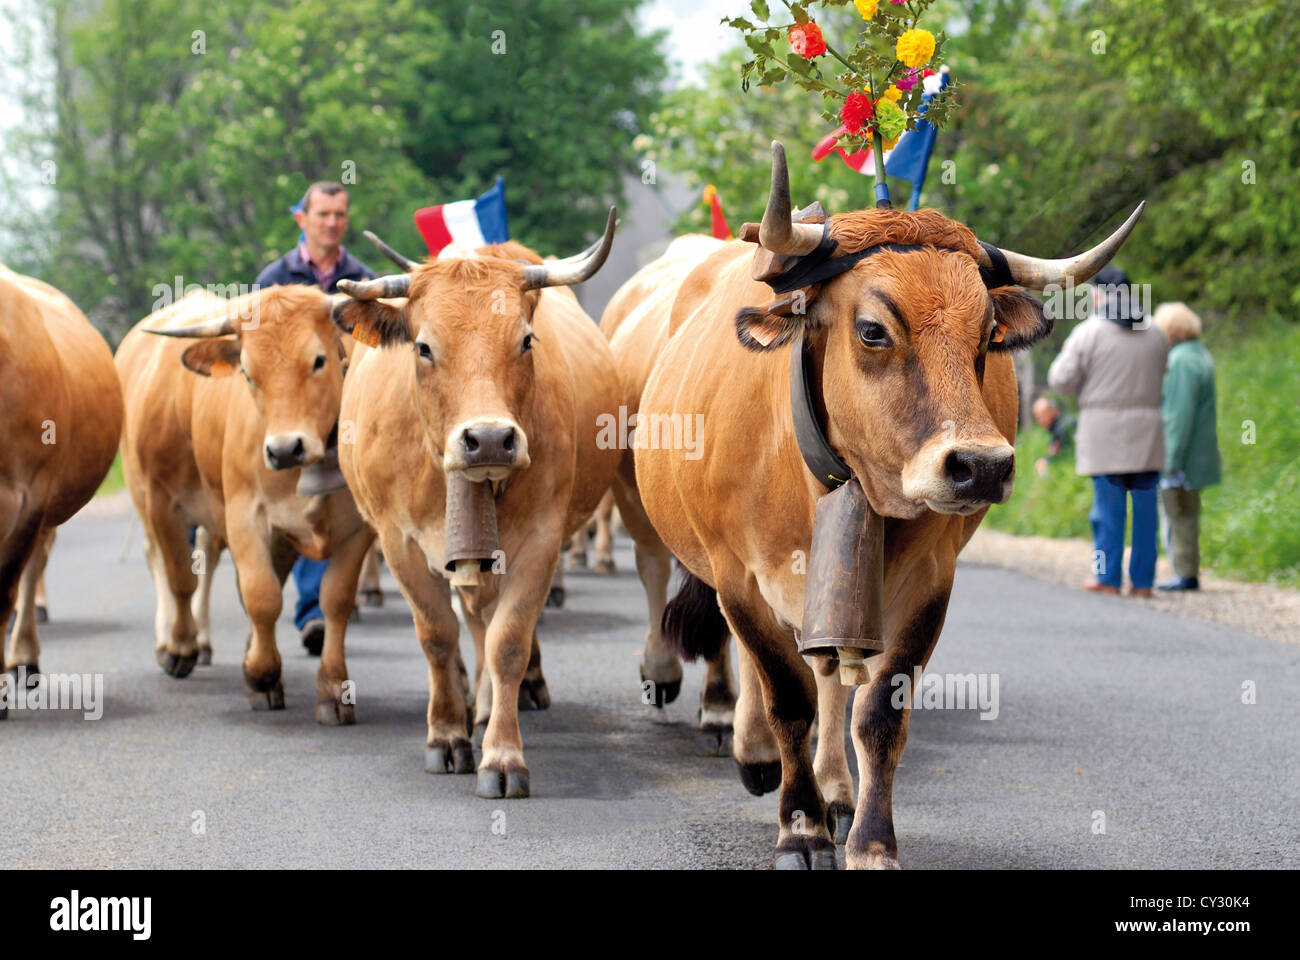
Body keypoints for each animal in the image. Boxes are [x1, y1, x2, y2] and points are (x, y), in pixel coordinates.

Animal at [115, 283, 372, 722]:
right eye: (249, 374)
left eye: (319, 360)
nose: (284, 449)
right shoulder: (240, 512)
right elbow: (258, 595)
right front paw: (260, 676)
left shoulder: (356, 527)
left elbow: (335, 600)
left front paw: (333, 689)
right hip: (151, 494)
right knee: (168, 565)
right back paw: (177, 643)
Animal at [330, 212, 620, 798]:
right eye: (423, 347)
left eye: (526, 340)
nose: (487, 439)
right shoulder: (399, 543)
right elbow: (437, 636)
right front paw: (446, 736)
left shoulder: (540, 541)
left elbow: (507, 643)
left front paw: (502, 756)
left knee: (489, 625)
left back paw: (497, 703)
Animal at [631, 142, 1144, 868]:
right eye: (873, 330)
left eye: (987, 331)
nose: (982, 466)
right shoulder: (739, 578)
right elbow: (786, 695)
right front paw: (800, 827)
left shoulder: (928, 582)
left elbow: (878, 711)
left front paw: (870, 838)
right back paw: (756, 754)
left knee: (831, 674)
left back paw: (836, 791)